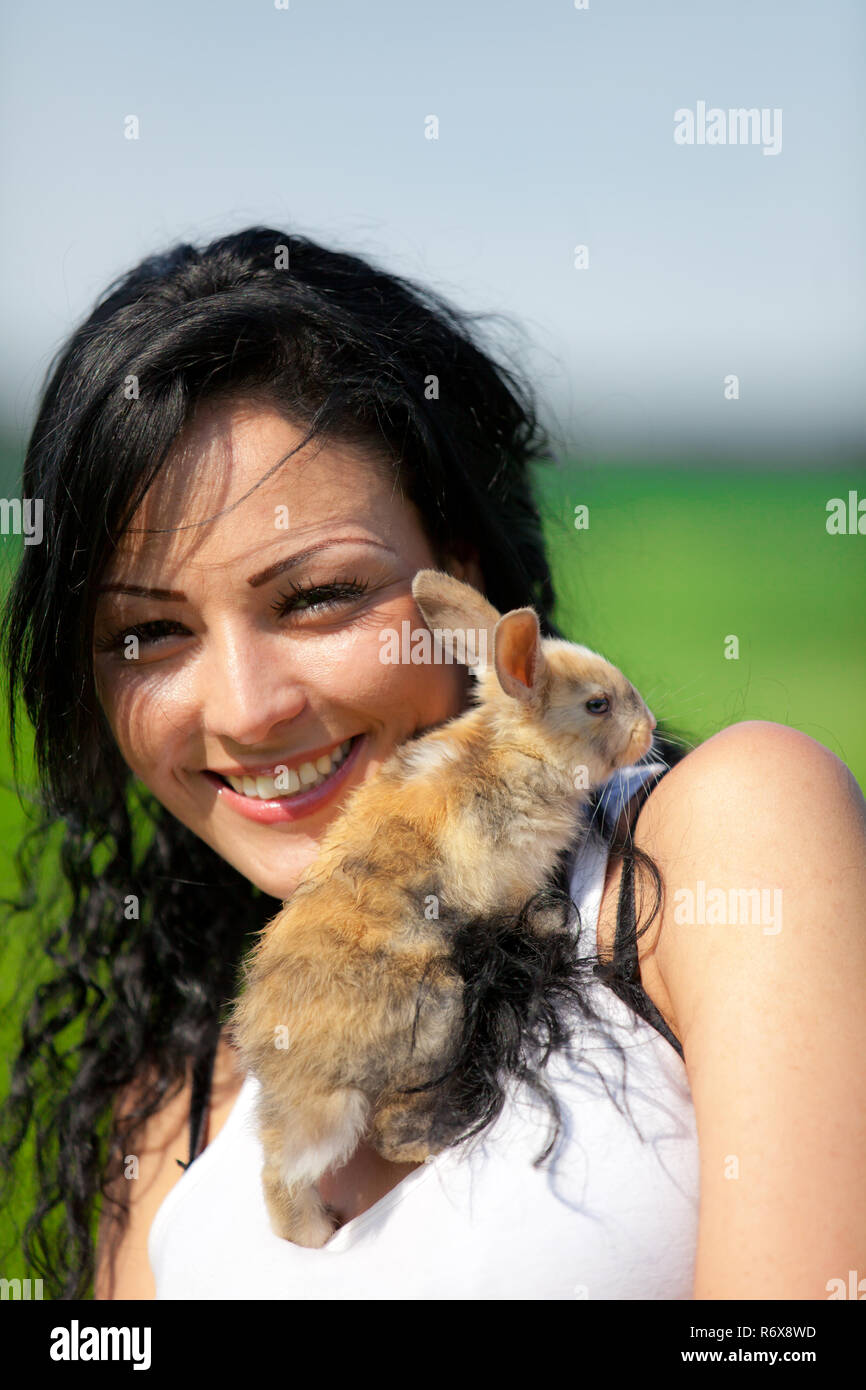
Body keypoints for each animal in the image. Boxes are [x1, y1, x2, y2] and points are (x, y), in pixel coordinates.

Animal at [228, 568, 656, 1248]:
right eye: (598, 704)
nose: (650, 729)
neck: (517, 752)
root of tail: (303, 1081)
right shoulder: (507, 878)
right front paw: (553, 921)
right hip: (435, 1017)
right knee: (379, 1137)